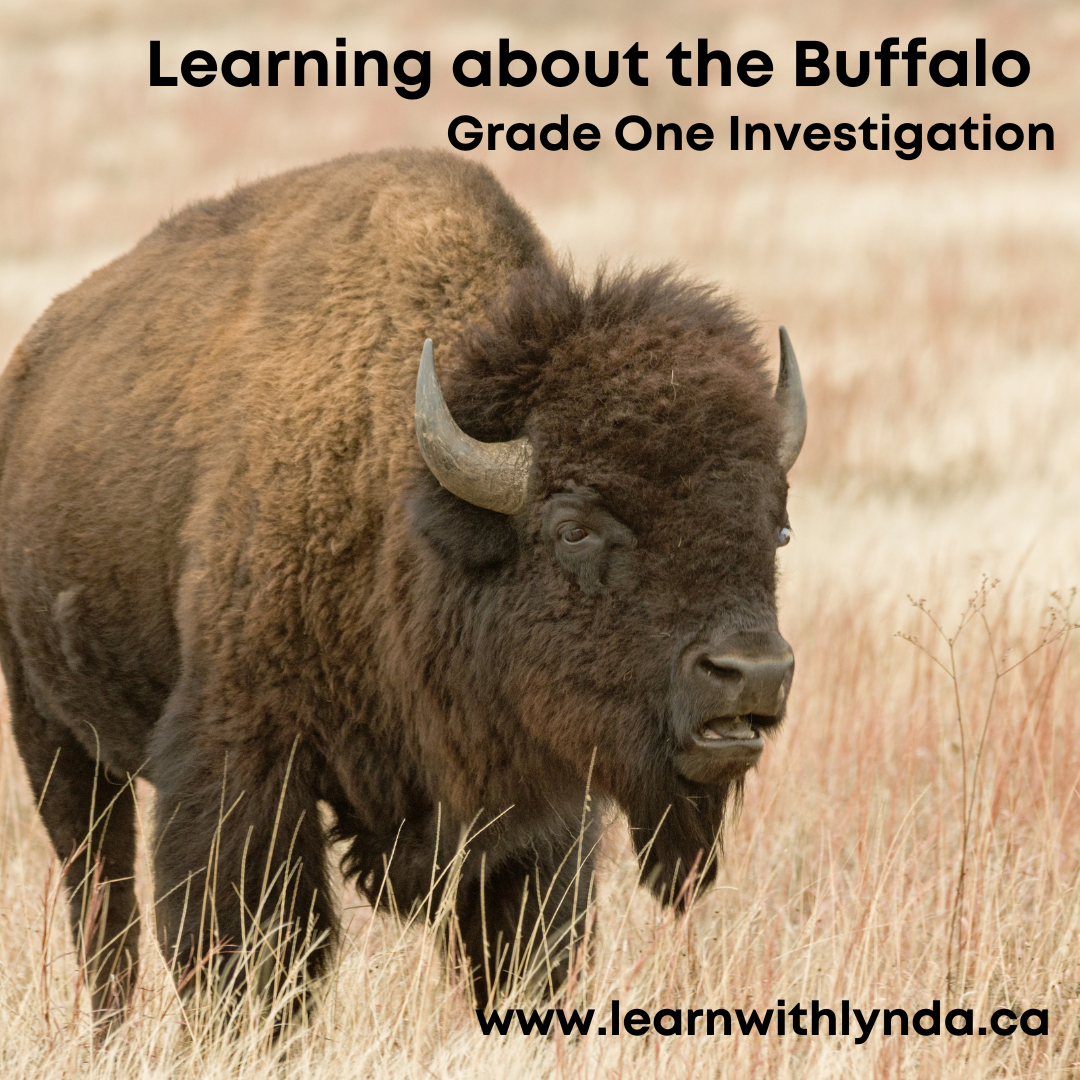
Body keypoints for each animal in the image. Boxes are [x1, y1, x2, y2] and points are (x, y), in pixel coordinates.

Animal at [0, 149, 804, 1022]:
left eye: (779, 526)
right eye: (574, 528)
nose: (752, 673)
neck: (409, 508)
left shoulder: (540, 813)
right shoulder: (244, 761)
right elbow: (255, 949)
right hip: (52, 733)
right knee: (101, 904)